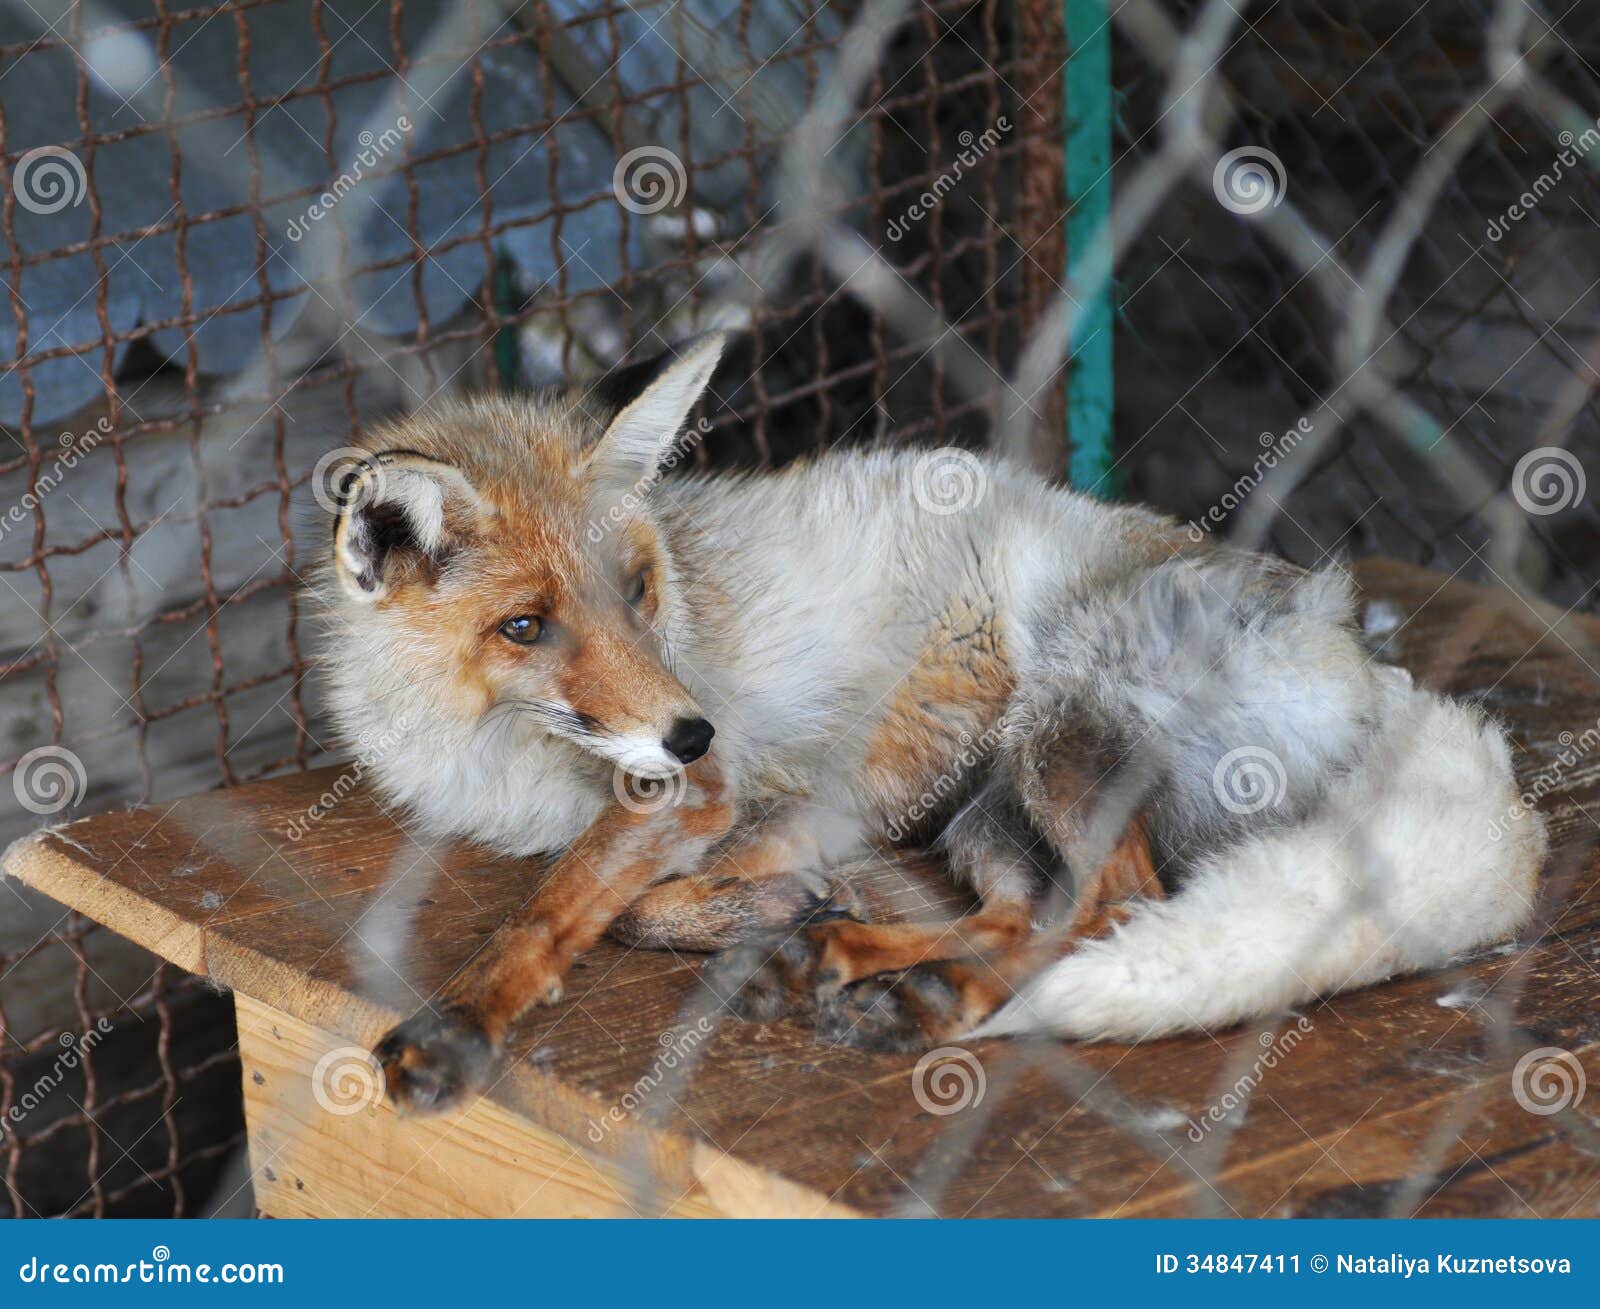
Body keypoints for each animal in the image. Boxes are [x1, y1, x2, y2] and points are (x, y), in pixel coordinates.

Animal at [313, 331, 1547, 1114]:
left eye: (637, 592)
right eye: (525, 627)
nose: (691, 729)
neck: (493, 751)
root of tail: (1352, 640)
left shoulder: (724, 789)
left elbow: (577, 906)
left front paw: (463, 1019)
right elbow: (622, 897)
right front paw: (786, 913)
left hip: (1046, 740)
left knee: (1116, 907)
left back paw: (906, 982)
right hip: (988, 810)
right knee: (1034, 910)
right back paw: (869, 968)